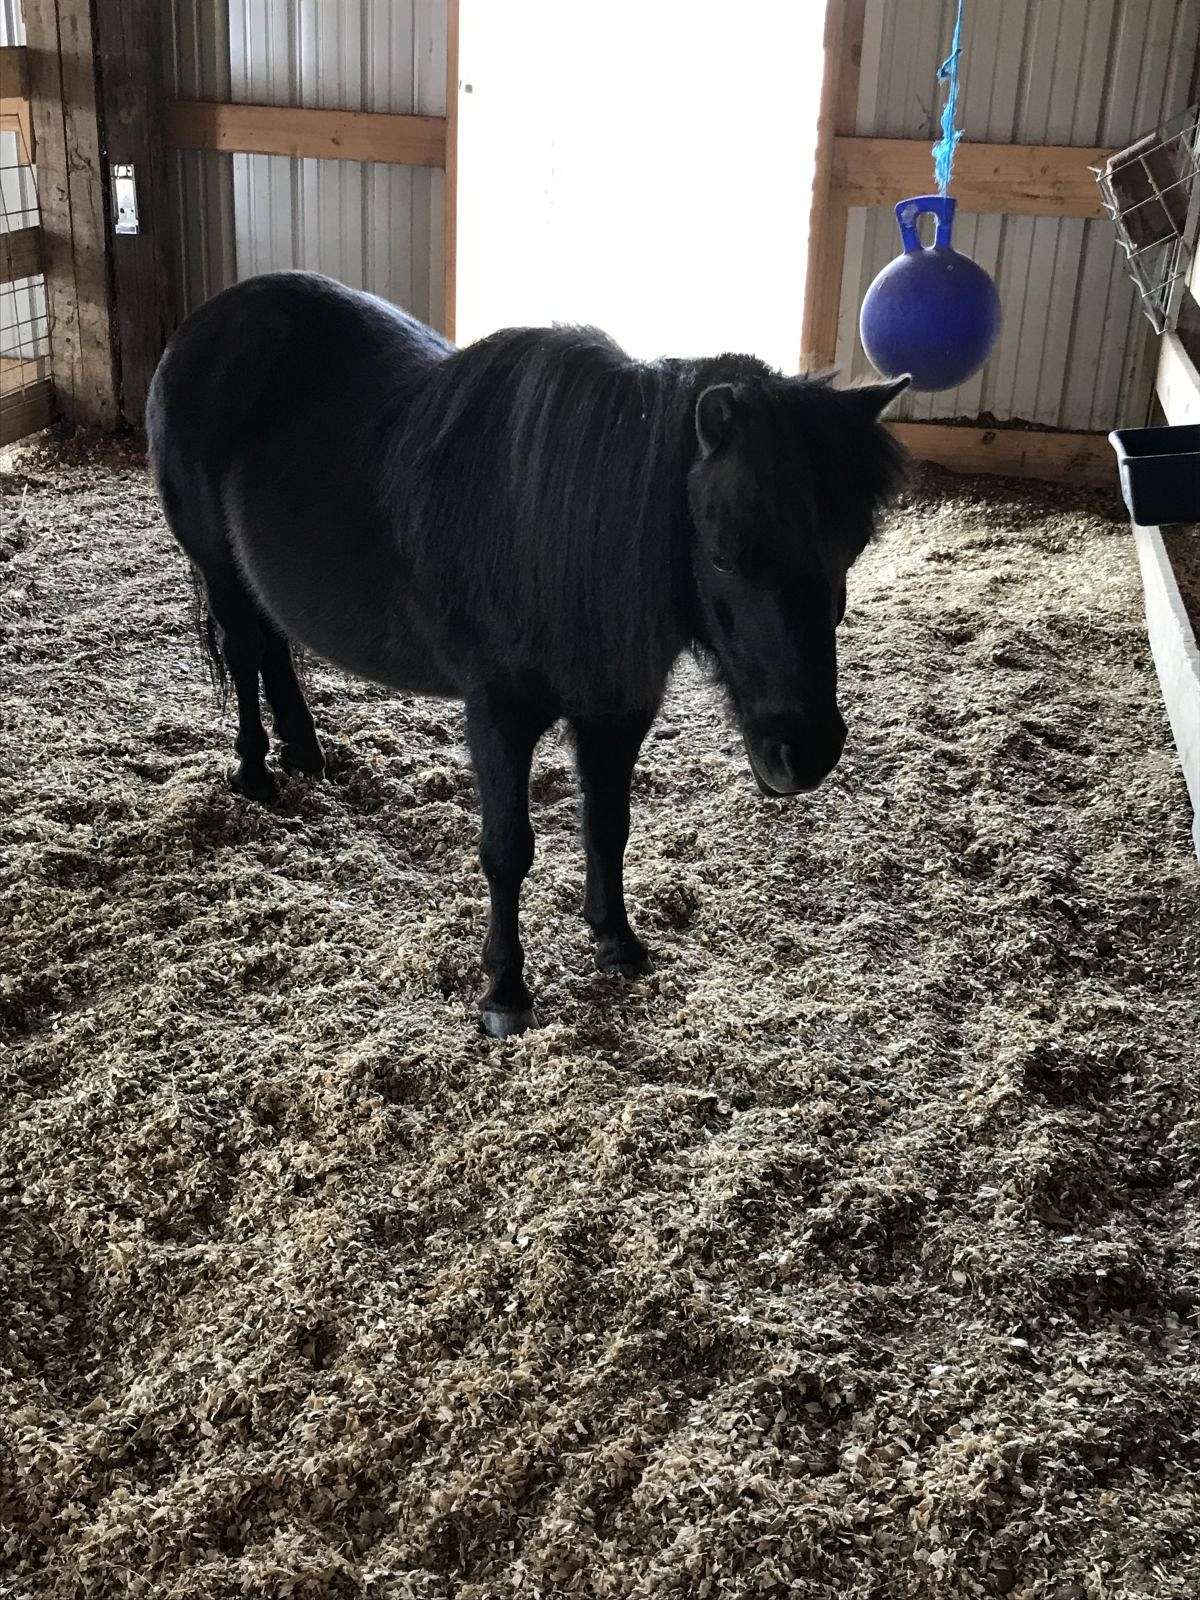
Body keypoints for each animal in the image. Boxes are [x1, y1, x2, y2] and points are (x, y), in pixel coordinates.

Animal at [146, 271, 908, 1038]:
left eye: (851, 551)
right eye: (723, 553)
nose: (804, 754)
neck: (562, 537)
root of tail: (210, 322)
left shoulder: (616, 711)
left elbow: (607, 825)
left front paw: (616, 942)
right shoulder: (499, 717)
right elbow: (507, 851)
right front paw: (505, 992)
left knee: (273, 645)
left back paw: (305, 752)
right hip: (217, 564)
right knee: (245, 649)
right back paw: (254, 771)